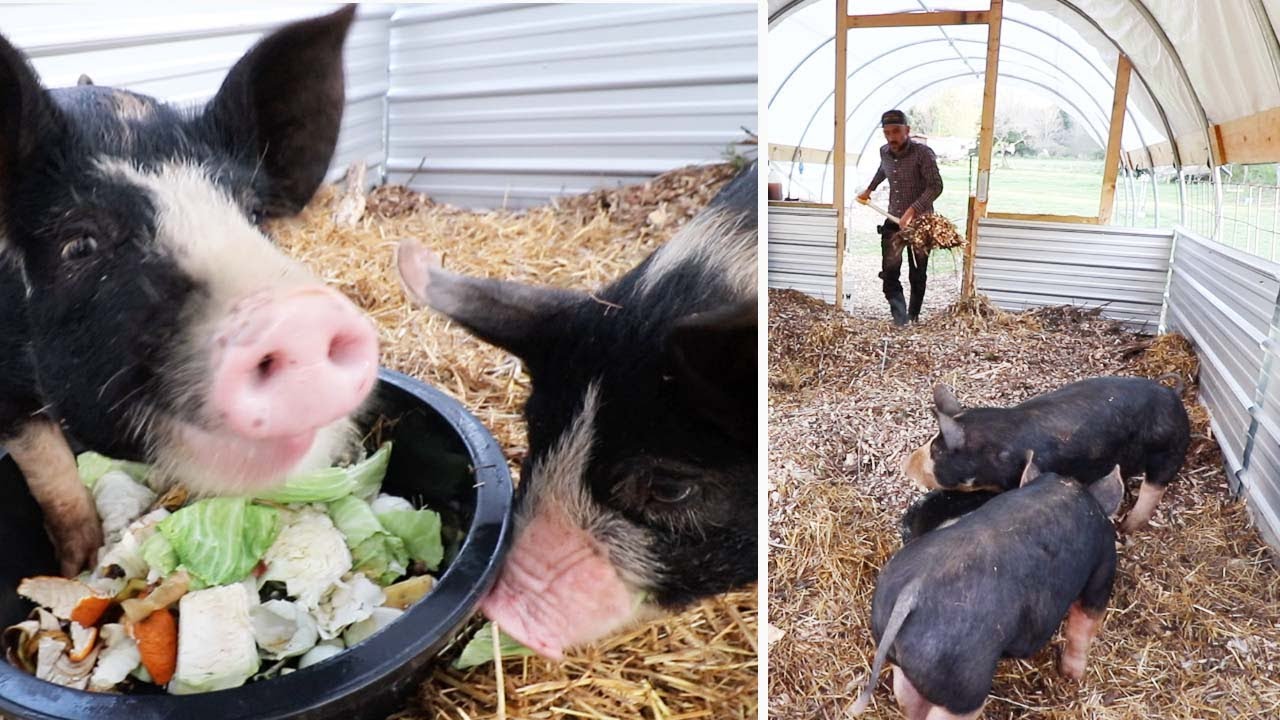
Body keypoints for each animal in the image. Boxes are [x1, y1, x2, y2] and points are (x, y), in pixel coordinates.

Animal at [851, 461, 1125, 719]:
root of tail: (911, 593)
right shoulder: (1102, 568)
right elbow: (1084, 624)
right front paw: (1073, 676)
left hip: (902, 655)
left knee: (907, 697)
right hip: (963, 680)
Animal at [902, 376, 1190, 533]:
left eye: (937, 452)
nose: (906, 464)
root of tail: (1174, 394)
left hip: (1169, 450)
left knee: (1154, 487)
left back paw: (1128, 527)